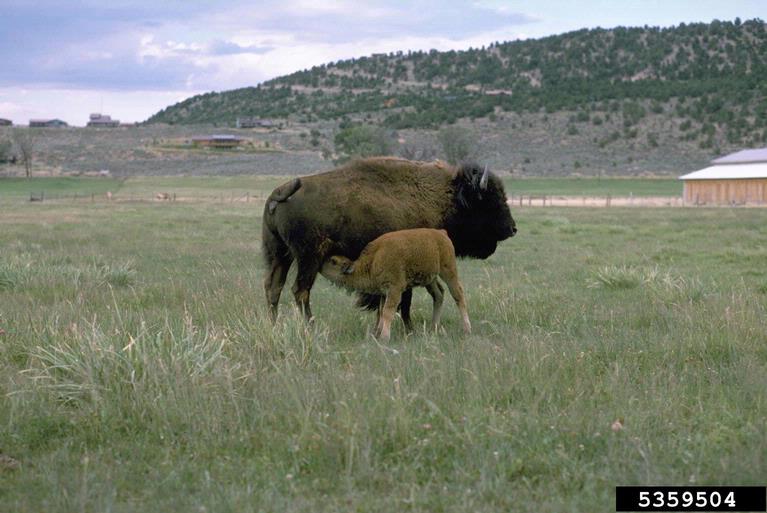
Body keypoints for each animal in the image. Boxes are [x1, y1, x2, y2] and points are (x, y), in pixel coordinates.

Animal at [262, 157, 517, 322]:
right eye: (492, 201)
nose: (512, 229)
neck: (446, 197)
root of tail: (280, 192)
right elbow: (405, 301)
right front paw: (407, 328)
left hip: (280, 254)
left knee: (273, 287)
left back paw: (274, 324)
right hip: (309, 257)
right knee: (300, 290)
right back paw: (310, 325)